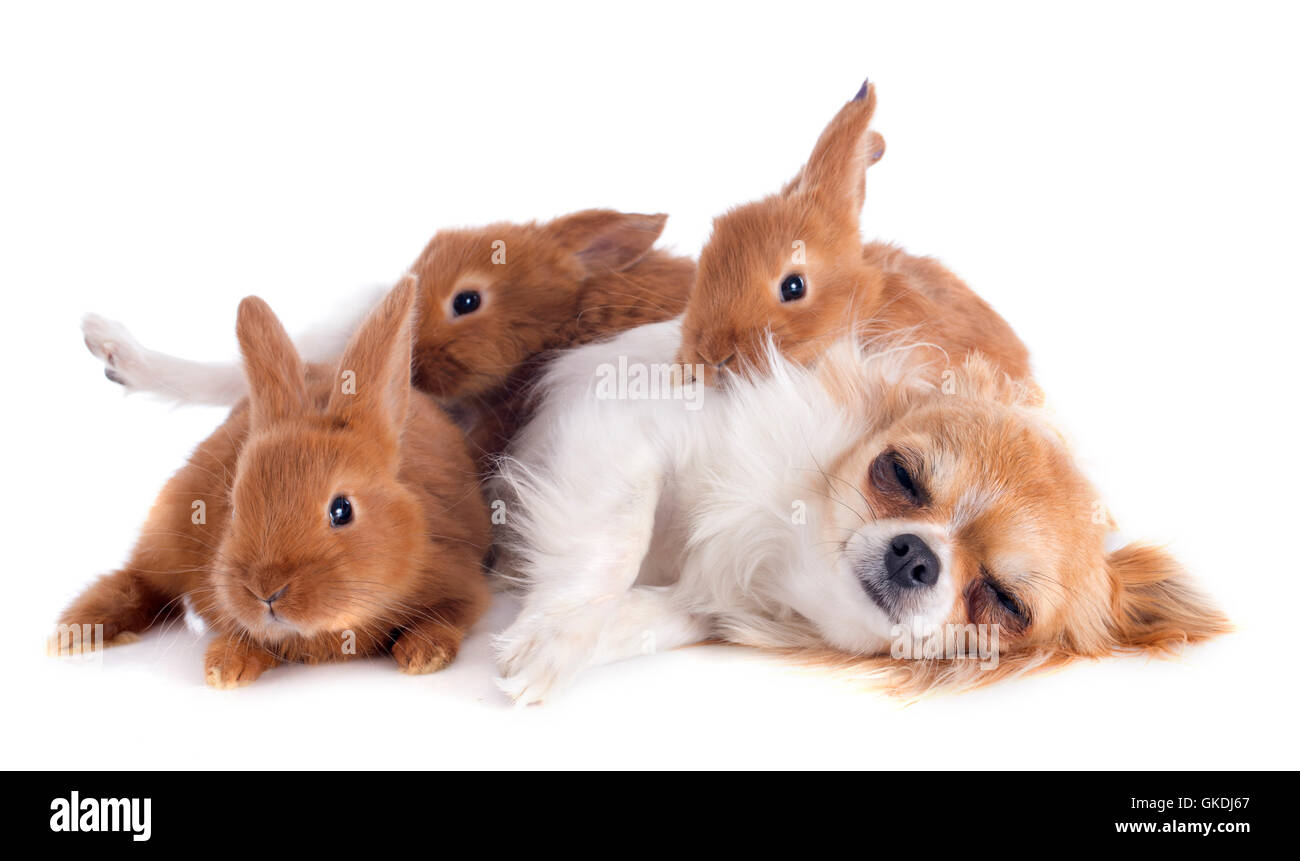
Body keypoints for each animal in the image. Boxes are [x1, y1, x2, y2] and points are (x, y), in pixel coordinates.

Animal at [54, 278, 492, 688]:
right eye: (234, 506)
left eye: (342, 510)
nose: (266, 591)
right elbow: (244, 634)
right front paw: (226, 667)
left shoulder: (462, 578)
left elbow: (446, 618)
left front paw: (423, 654)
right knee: (140, 581)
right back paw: (77, 631)